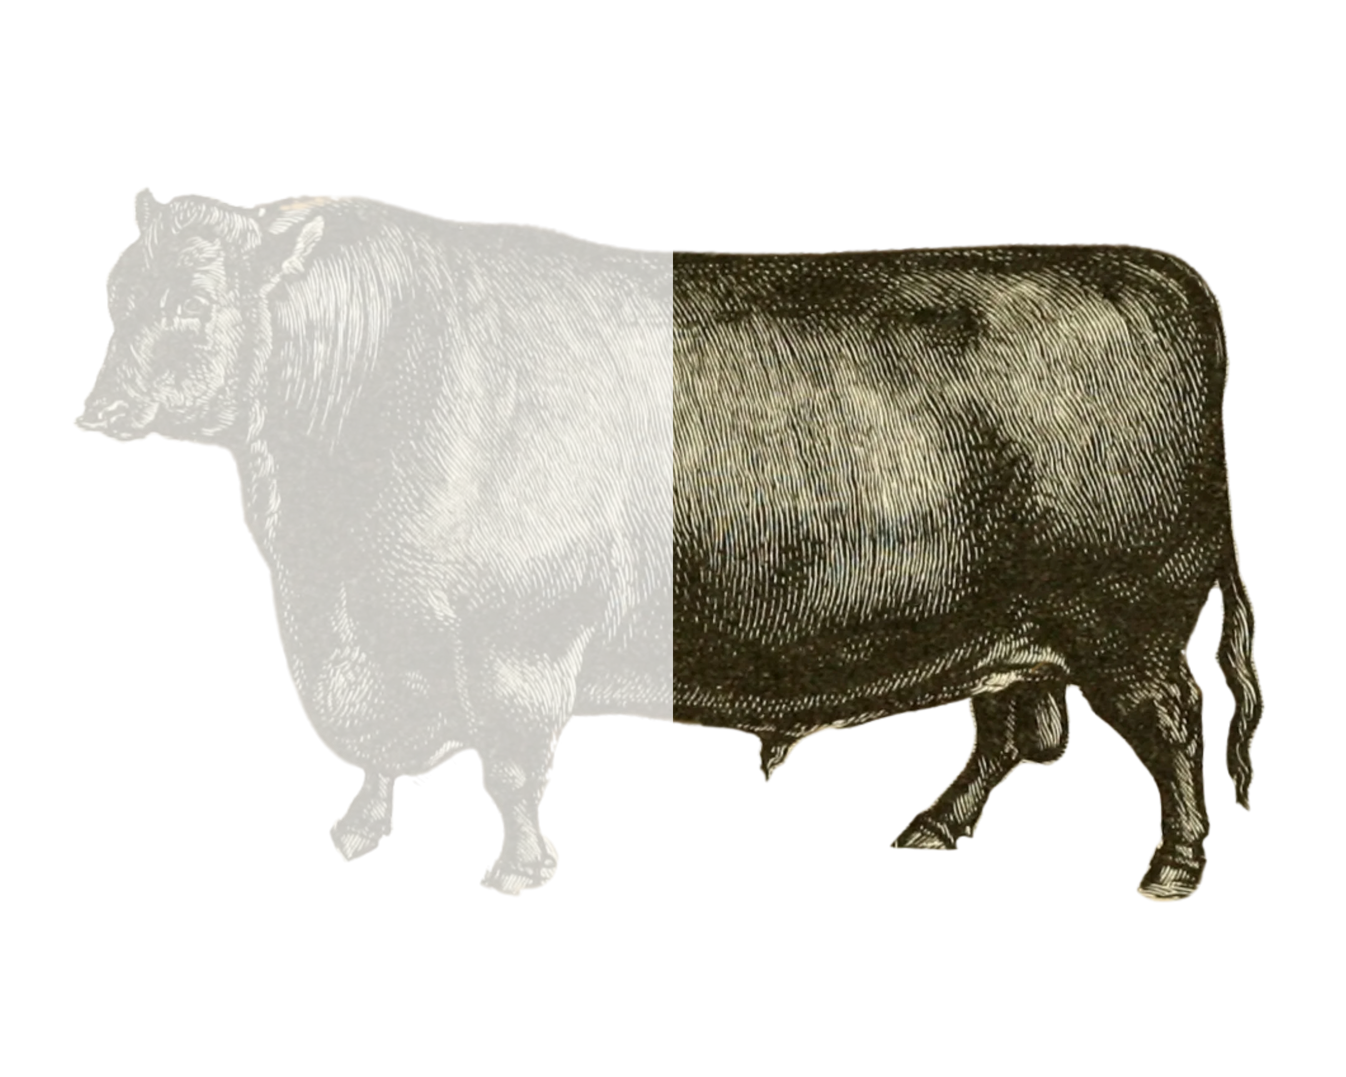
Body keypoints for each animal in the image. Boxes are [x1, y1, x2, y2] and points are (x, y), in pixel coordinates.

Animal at [72, 187, 1264, 904]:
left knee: (1172, 728)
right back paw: (933, 827)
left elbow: (511, 761)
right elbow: (373, 751)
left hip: (1125, 619)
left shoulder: (516, 639)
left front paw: (517, 871)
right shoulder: (367, 633)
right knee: (1013, 731)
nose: (99, 410)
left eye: (193, 300)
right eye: (116, 291)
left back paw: (1171, 869)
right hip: (1008, 633)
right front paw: (356, 833)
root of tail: (1156, 274)